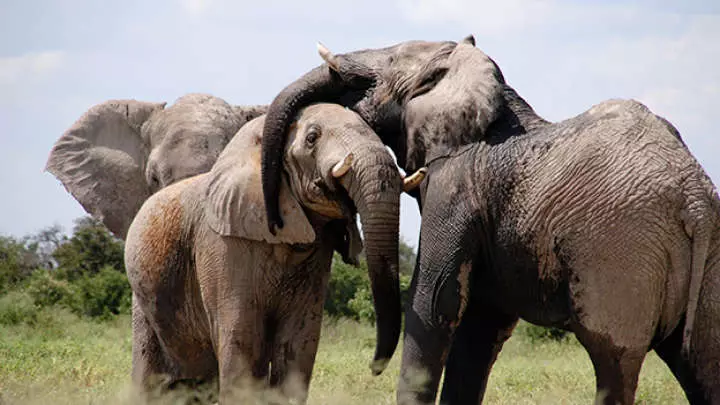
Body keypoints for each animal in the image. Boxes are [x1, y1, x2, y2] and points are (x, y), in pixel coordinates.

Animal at [124, 102, 424, 402]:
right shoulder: (222, 244)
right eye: (312, 138)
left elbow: (299, 342)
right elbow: (242, 337)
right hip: (143, 301)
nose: (374, 369)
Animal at [255, 36, 720, 402]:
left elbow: (433, 304)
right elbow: (479, 326)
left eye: (386, 62)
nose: (275, 221)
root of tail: (693, 197)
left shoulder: (455, 184)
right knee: (702, 363)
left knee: (613, 363)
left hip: (620, 252)